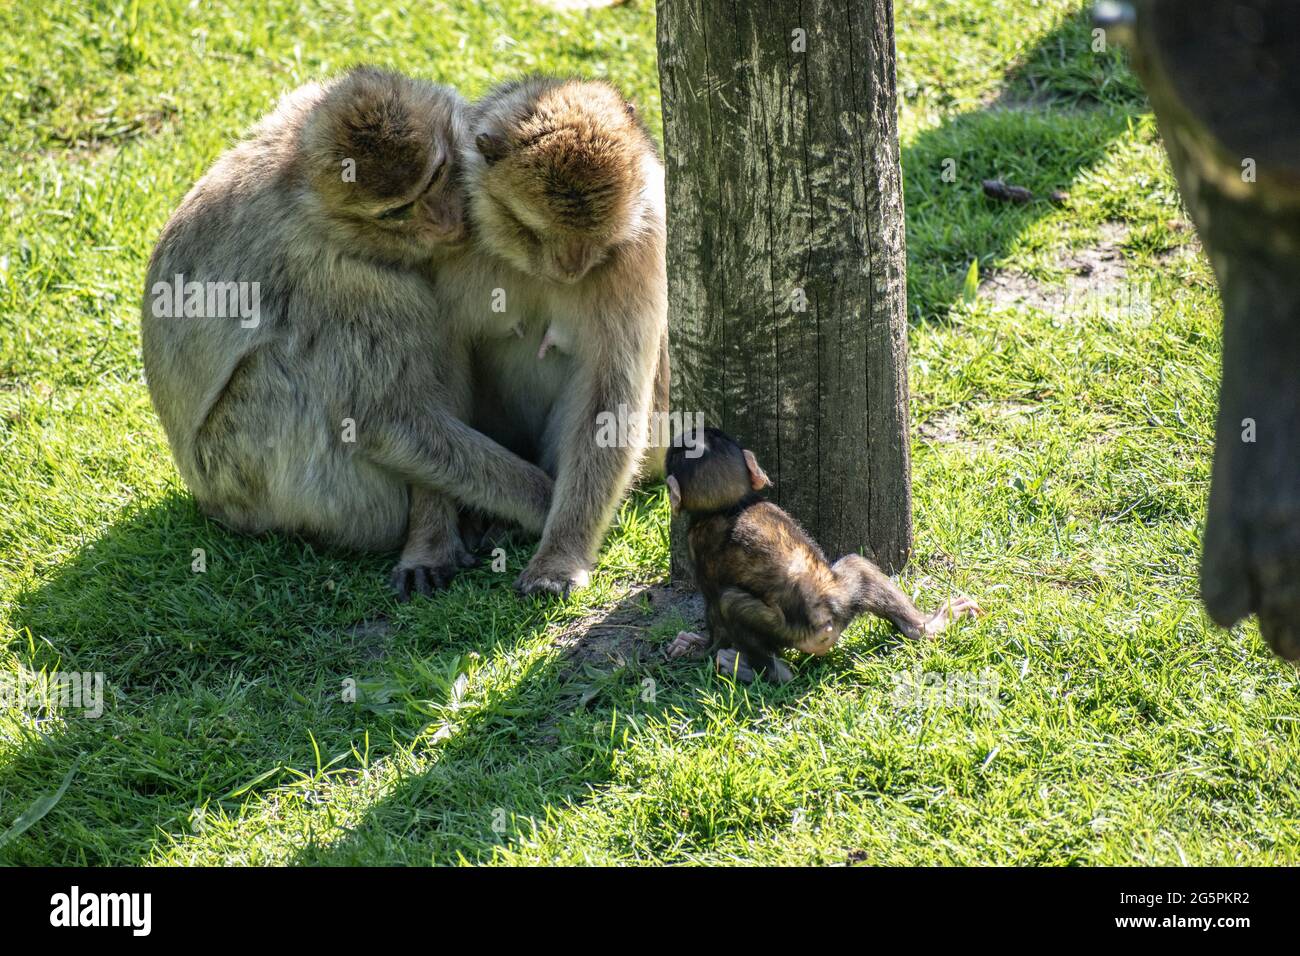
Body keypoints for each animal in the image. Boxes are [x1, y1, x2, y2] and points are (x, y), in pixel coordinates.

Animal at [141, 66, 558, 599]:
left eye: (436, 175)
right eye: (397, 211)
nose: (445, 223)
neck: (300, 184)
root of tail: (211, 504)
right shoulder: (349, 281)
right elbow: (387, 418)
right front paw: (545, 501)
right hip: (260, 483)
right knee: (286, 372)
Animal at [438, 76, 669, 597]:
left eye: (598, 228)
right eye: (533, 227)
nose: (571, 266)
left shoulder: (644, 243)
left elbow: (609, 399)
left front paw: (560, 555)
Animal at [663, 428, 983, 683]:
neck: (731, 506)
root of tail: (825, 620)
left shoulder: (696, 544)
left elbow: (714, 613)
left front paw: (697, 647)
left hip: (791, 630)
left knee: (729, 604)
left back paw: (754, 670)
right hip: (845, 592)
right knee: (859, 567)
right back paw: (928, 626)